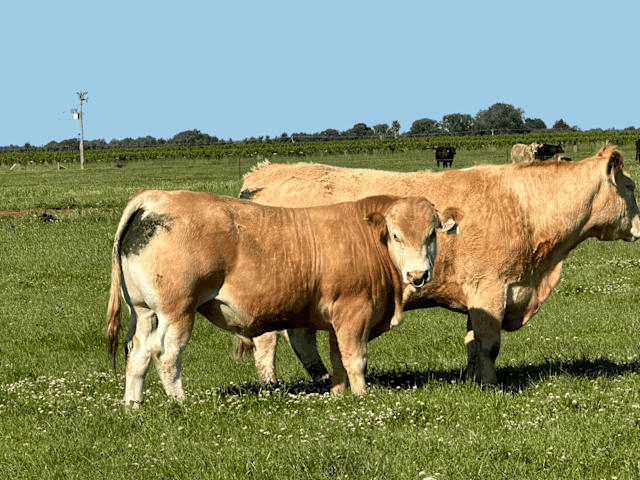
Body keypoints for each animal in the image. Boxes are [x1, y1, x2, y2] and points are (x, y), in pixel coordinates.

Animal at [105, 190, 449, 405]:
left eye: (431, 234)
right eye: (396, 235)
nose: (418, 275)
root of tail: (157, 197)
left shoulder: (337, 318)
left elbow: (337, 359)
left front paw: (339, 395)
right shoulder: (354, 310)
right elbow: (354, 358)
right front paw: (362, 396)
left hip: (143, 312)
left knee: (137, 353)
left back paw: (133, 405)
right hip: (177, 312)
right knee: (165, 354)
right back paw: (180, 402)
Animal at [239, 145, 640, 386]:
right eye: (632, 186)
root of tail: (262, 174)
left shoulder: (480, 296)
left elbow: (473, 344)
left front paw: (472, 381)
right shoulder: (491, 288)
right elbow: (489, 345)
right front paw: (490, 386)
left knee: (299, 335)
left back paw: (321, 377)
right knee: (267, 340)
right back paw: (272, 385)